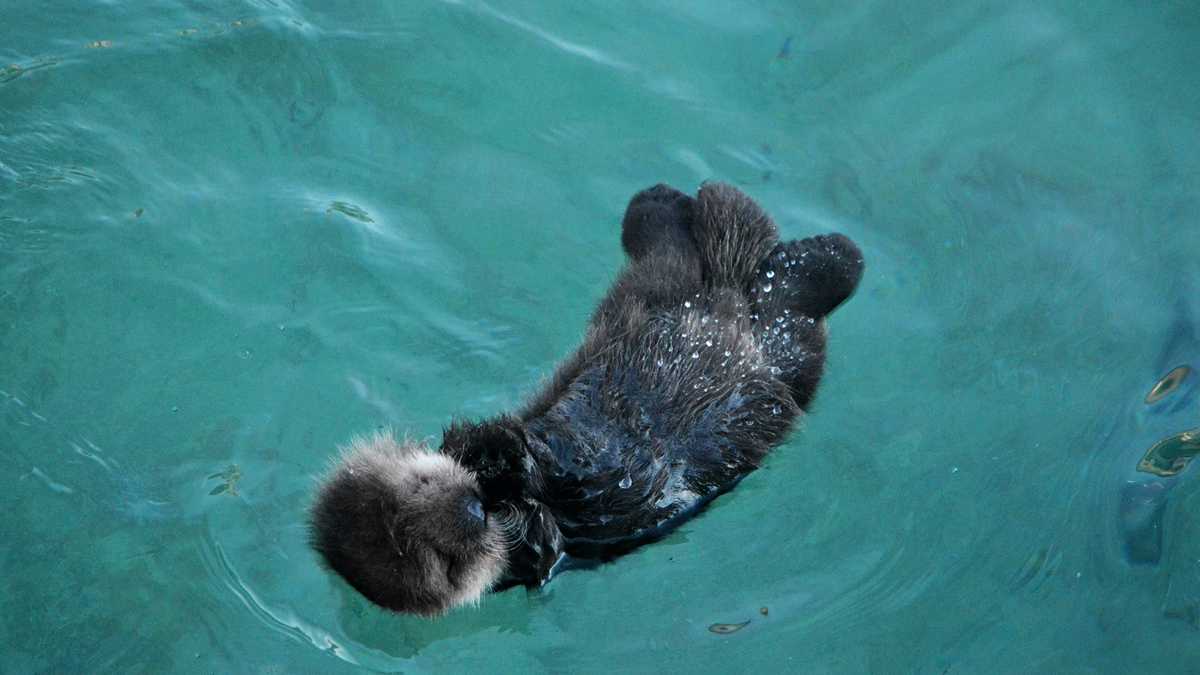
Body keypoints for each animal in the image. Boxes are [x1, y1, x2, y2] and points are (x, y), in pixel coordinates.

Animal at [310, 182, 864, 616]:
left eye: (422, 482)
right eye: (445, 559)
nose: (472, 504)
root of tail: (731, 299)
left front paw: (489, 443)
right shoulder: (541, 549)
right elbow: (542, 537)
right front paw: (508, 463)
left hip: (660, 296)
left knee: (709, 233)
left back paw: (666, 197)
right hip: (779, 354)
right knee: (784, 284)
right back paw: (824, 249)